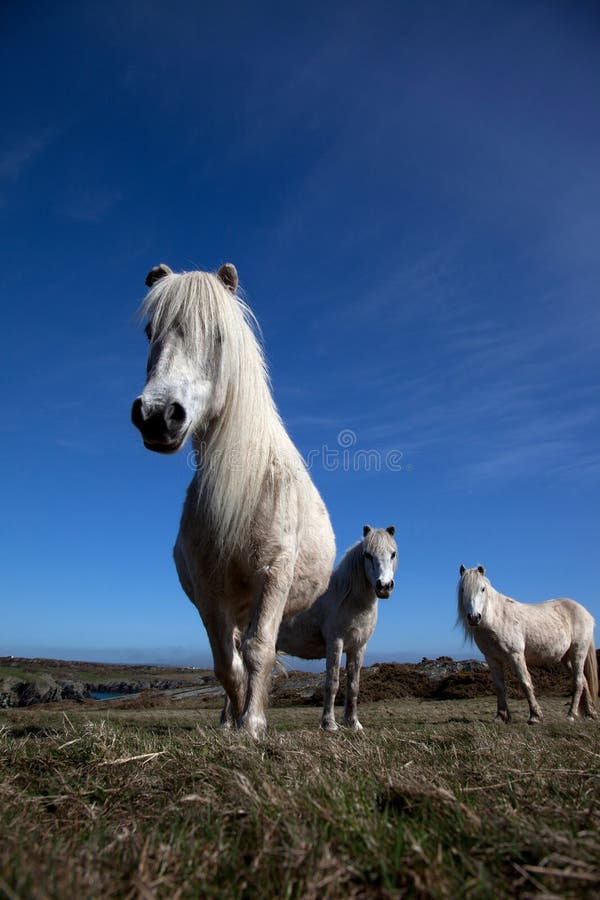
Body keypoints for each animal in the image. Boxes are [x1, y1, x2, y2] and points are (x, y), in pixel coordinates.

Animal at [131, 262, 335, 737]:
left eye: (218, 334)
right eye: (150, 331)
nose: (156, 415)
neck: (247, 486)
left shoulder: (274, 576)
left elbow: (260, 650)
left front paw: (253, 724)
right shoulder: (210, 594)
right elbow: (226, 663)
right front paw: (237, 716)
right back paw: (227, 716)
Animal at [277, 525, 397, 731]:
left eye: (393, 553)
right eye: (367, 555)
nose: (384, 586)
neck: (349, 598)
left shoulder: (358, 647)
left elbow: (353, 685)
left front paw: (353, 723)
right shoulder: (335, 643)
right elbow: (332, 682)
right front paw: (329, 724)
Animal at [457, 564, 598, 724]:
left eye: (482, 589)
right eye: (462, 589)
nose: (474, 618)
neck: (496, 619)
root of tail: (586, 613)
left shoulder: (516, 655)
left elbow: (525, 682)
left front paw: (535, 716)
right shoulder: (492, 658)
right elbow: (499, 687)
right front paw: (500, 717)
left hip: (578, 652)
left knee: (578, 682)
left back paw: (571, 715)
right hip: (565, 658)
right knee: (584, 681)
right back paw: (590, 714)